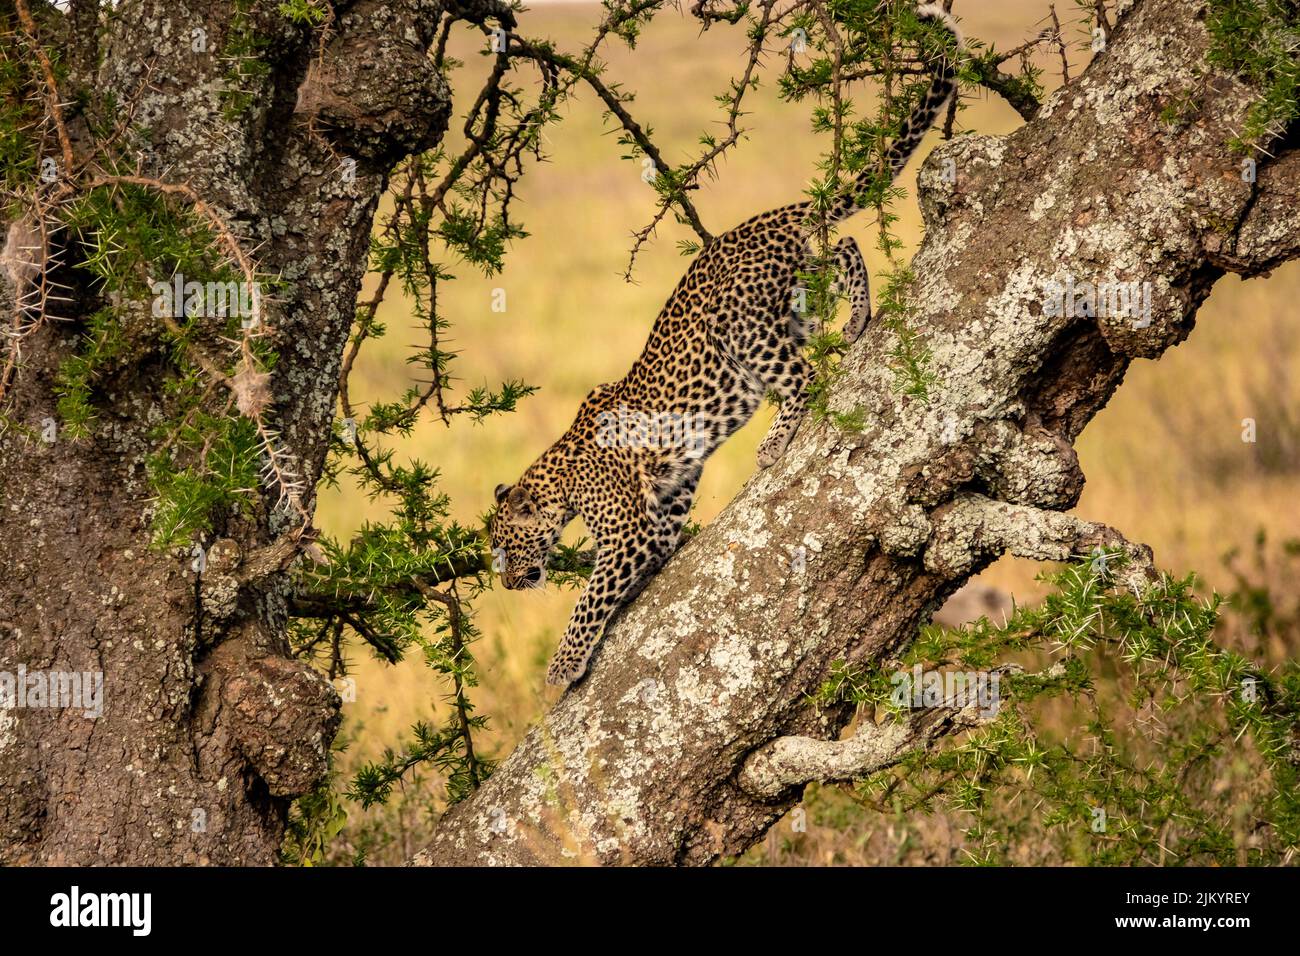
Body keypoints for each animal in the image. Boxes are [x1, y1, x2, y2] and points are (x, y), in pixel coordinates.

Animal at [490, 4, 964, 687]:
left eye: (506, 546)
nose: (507, 585)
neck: (563, 481)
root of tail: (775, 214)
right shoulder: (662, 514)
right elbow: (639, 565)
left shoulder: (628, 532)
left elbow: (590, 598)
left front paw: (564, 664)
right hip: (794, 296)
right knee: (844, 249)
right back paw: (856, 320)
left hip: (741, 325)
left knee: (804, 377)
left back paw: (774, 442)